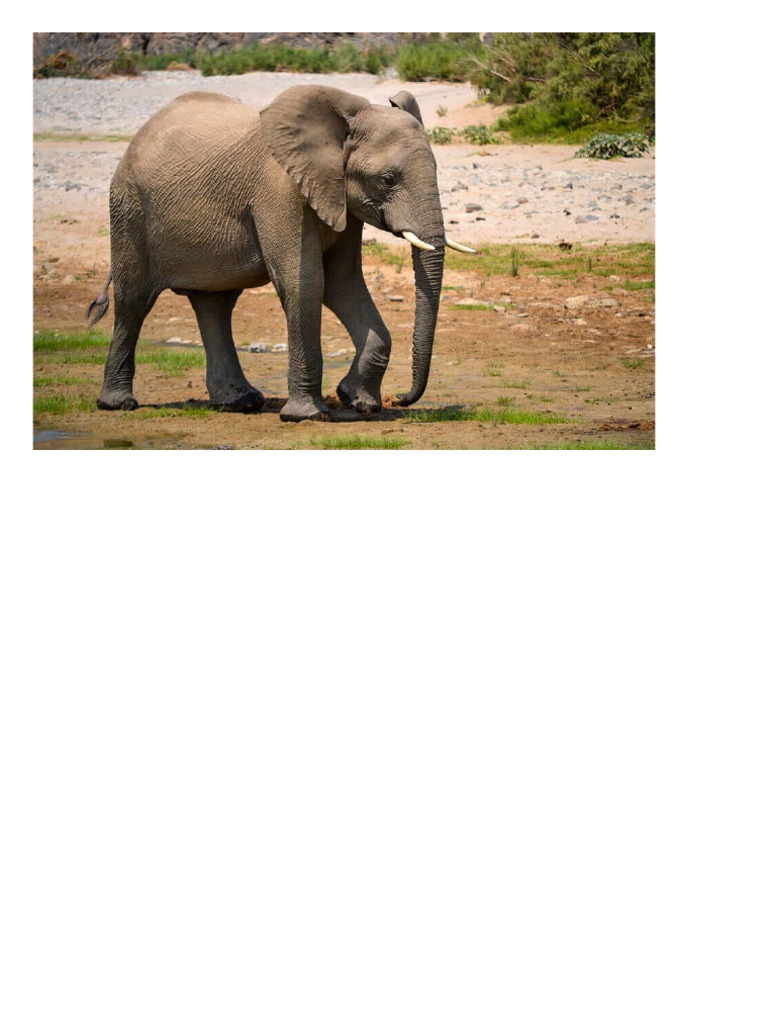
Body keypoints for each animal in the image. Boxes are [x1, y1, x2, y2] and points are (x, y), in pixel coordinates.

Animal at [87, 85, 475, 421]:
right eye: (388, 180)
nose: (402, 398)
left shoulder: (341, 201)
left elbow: (343, 285)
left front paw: (360, 403)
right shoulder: (282, 192)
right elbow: (306, 285)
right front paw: (308, 416)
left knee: (214, 305)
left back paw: (240, 402)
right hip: (129, 209)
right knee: (134, 302)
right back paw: (117, 404)